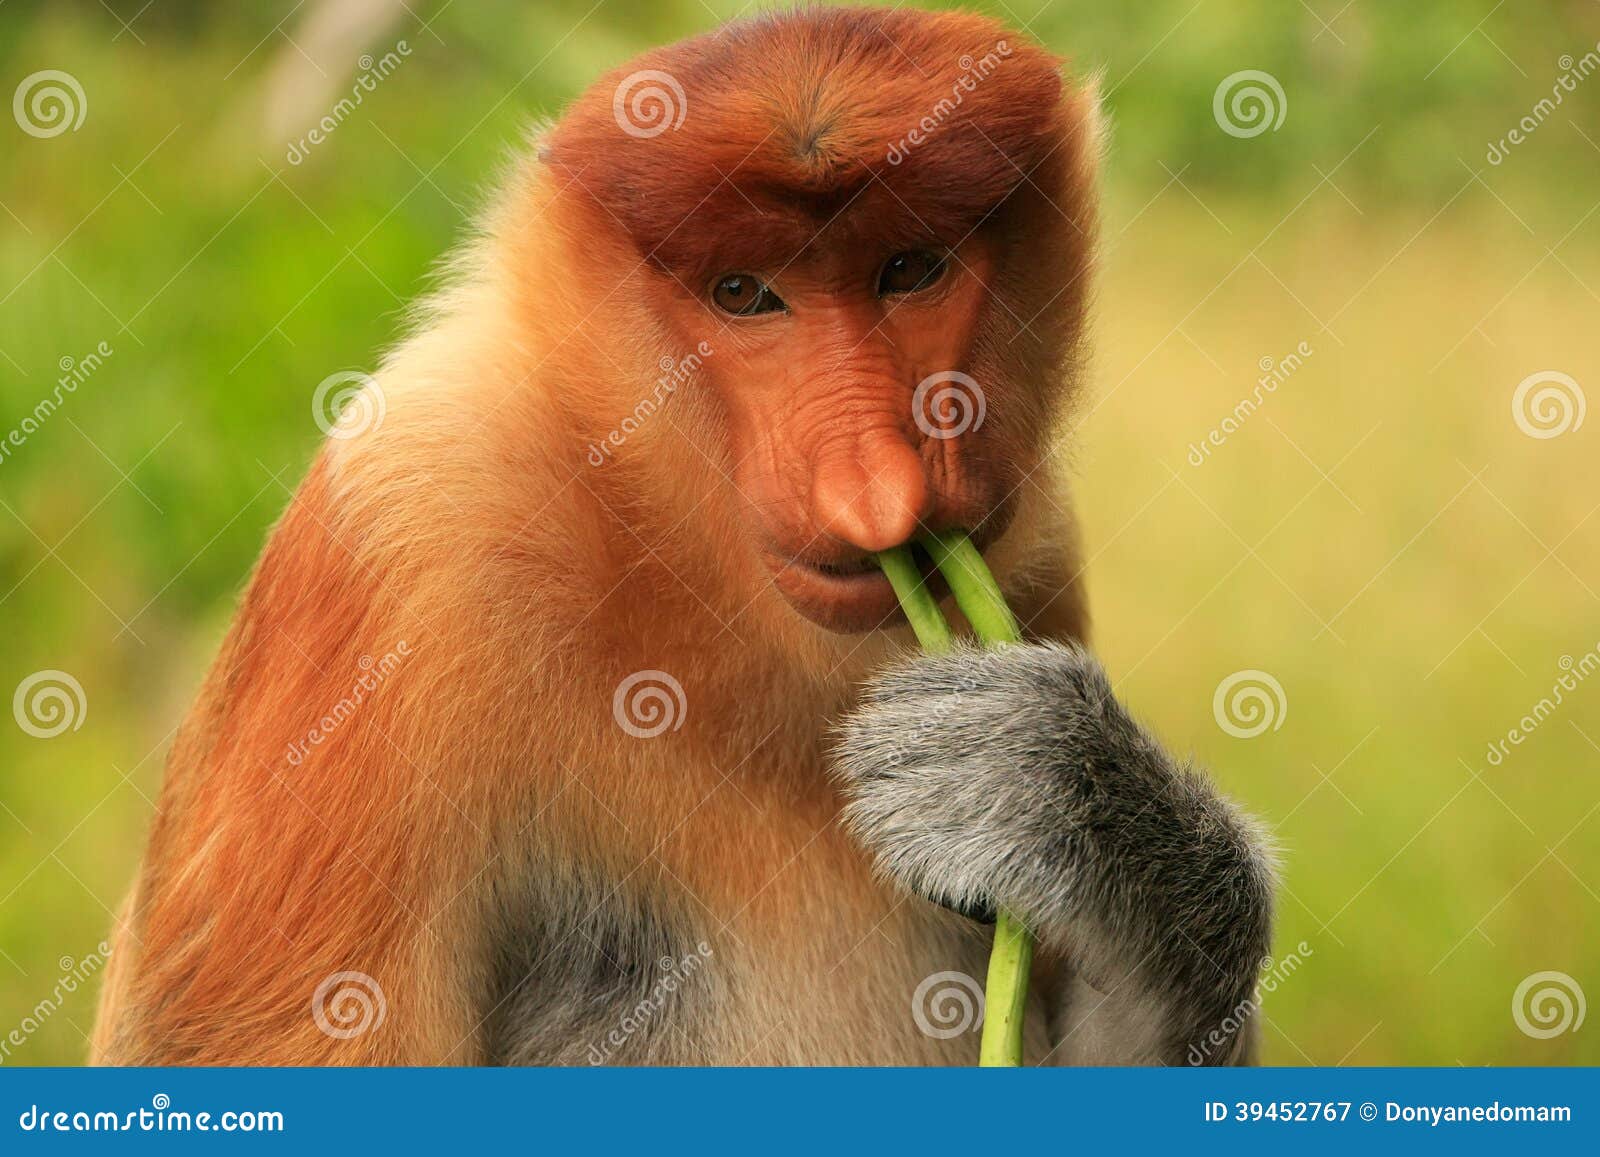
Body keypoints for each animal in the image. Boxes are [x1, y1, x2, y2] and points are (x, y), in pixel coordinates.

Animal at [92, 6, 1273, 1067]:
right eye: (744, 293)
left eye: (909, 268)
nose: (876, 498)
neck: (664, 540)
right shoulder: (410, 527)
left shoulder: (1032, 547)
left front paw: (1065, 795)